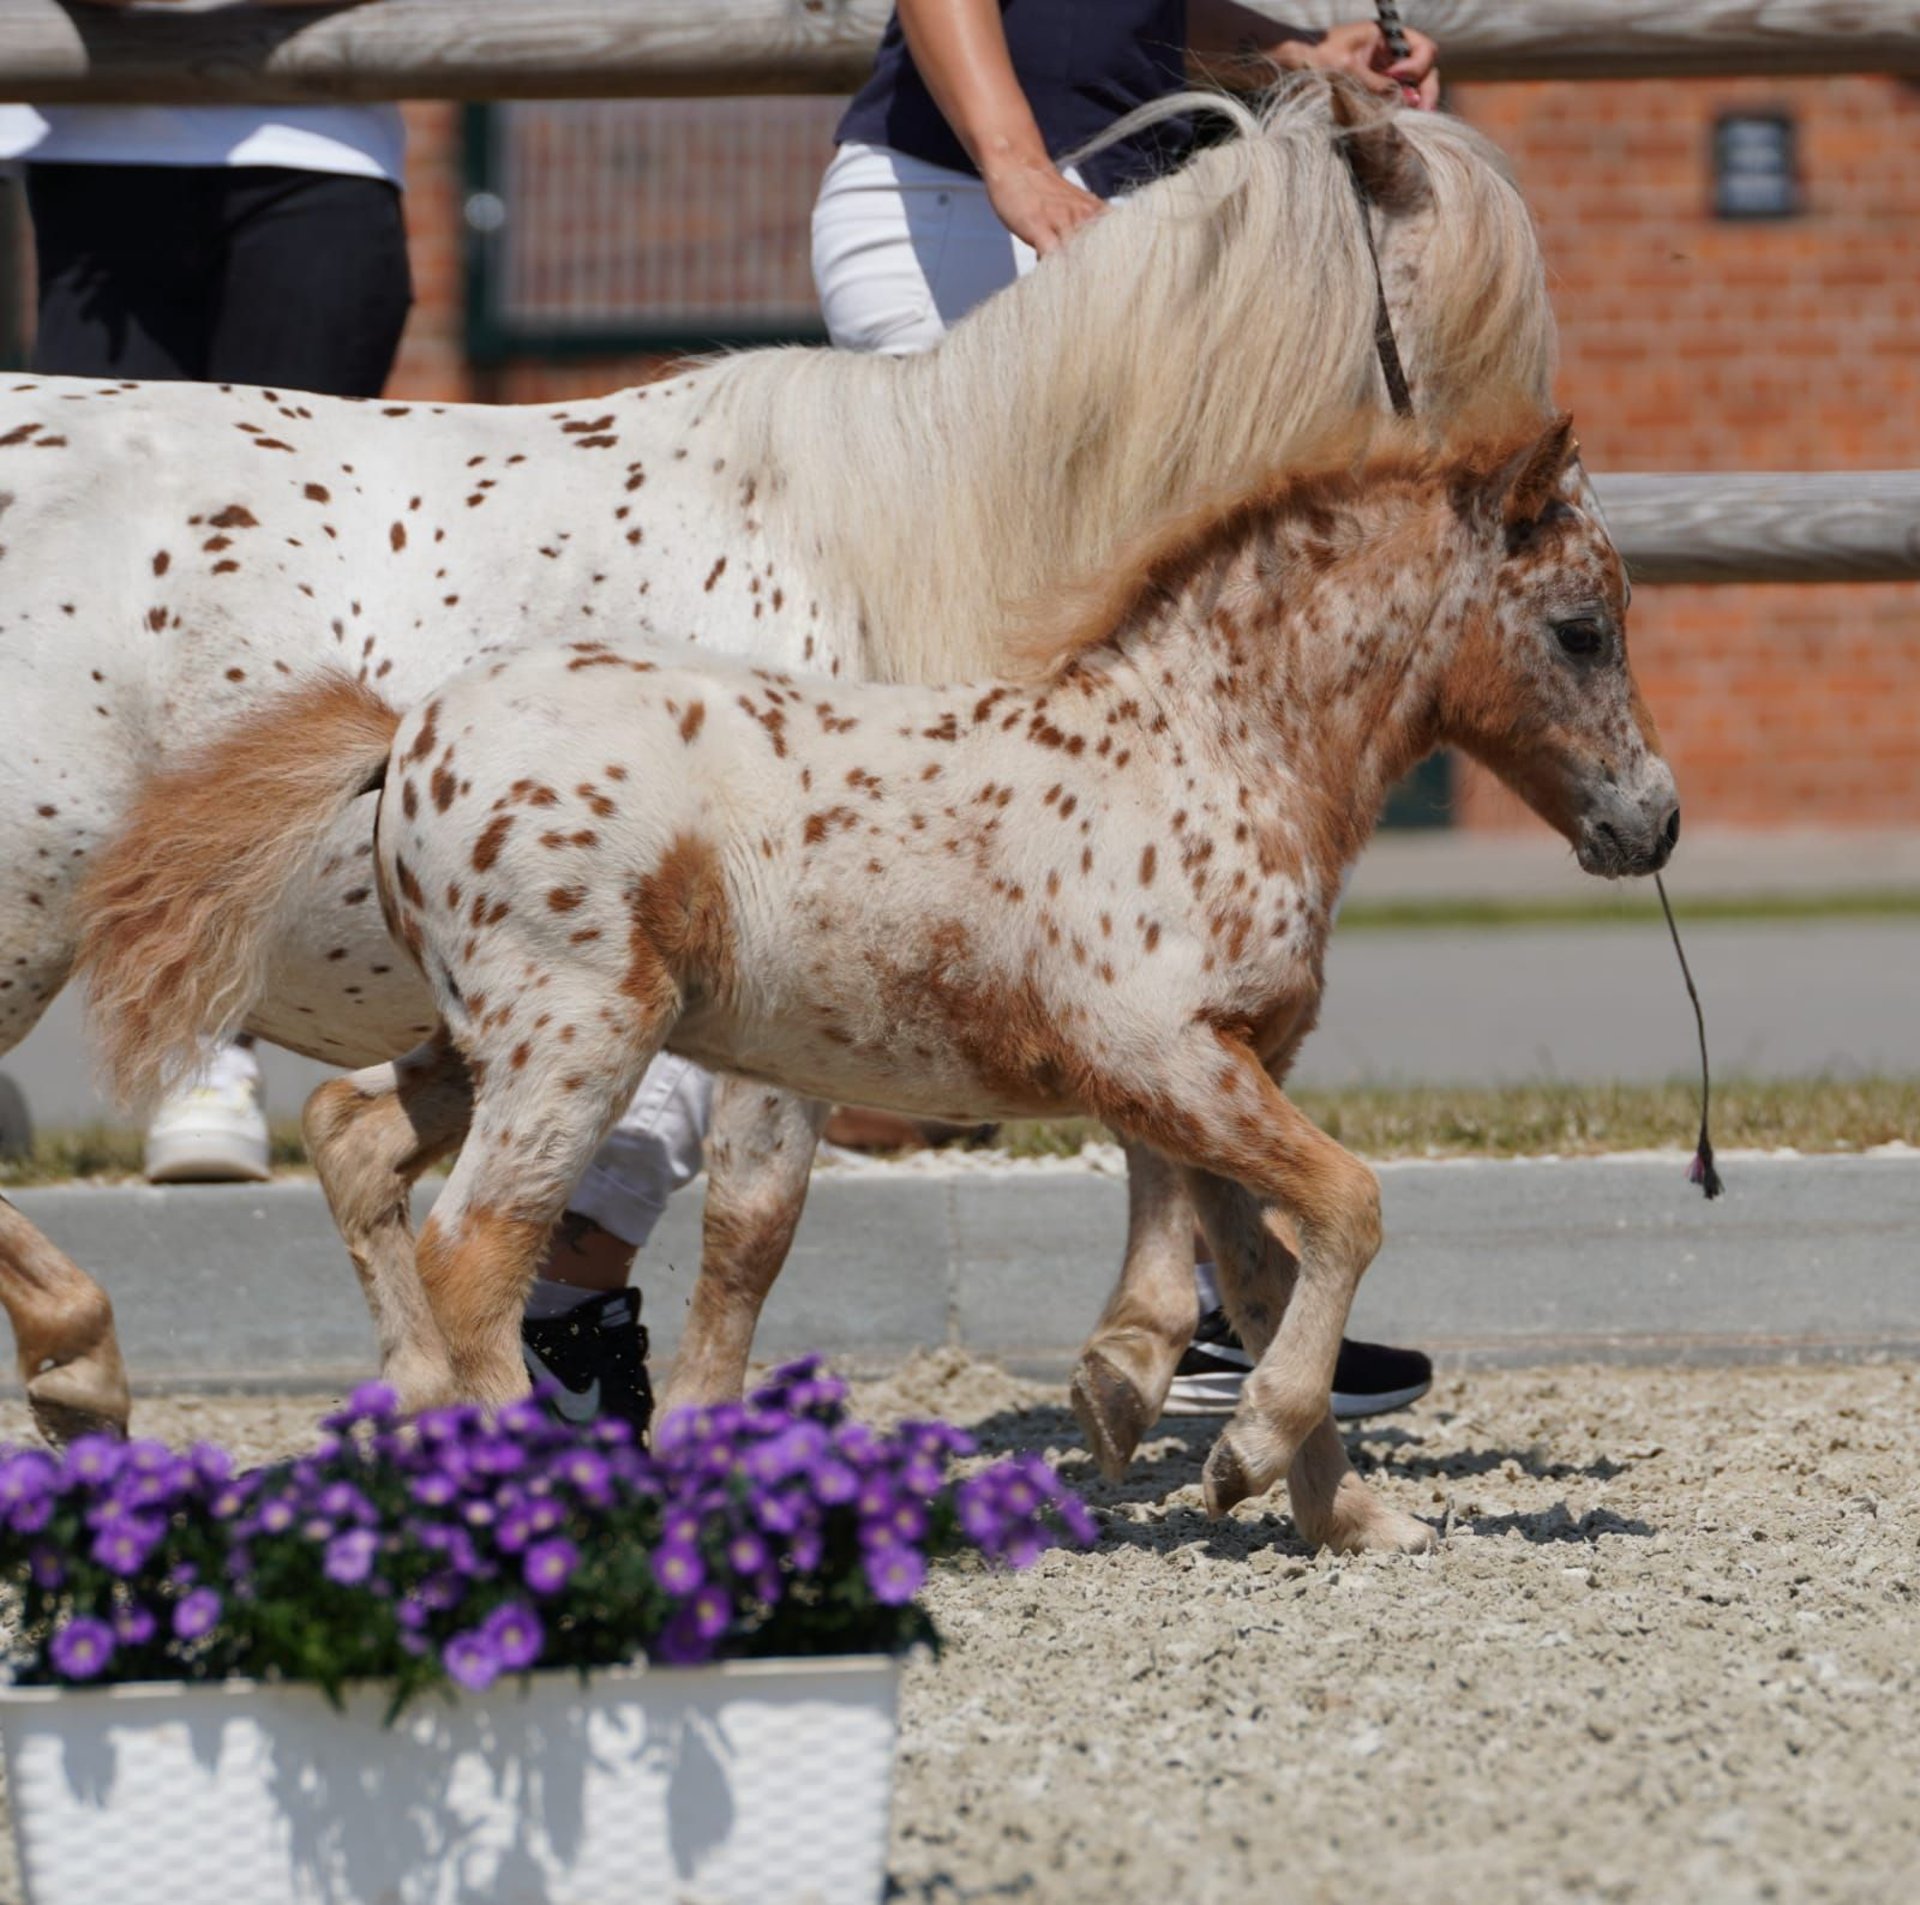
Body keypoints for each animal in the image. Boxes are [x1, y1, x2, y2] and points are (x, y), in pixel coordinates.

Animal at [75, 406, 1679, 1554]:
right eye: (1582, 626)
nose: (1650, 822)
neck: (1210, 753)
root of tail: (409, 734)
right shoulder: (1157, 1055)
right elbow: (1350, 1206)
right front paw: (1242, 1450)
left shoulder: (1216, 1073)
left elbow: (1267, 1265)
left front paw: (1330, 1506)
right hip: (576, 1037)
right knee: (476, 1249)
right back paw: (533, 1493)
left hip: (494, 1043)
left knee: (352, 1136)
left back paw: (417, 1423)